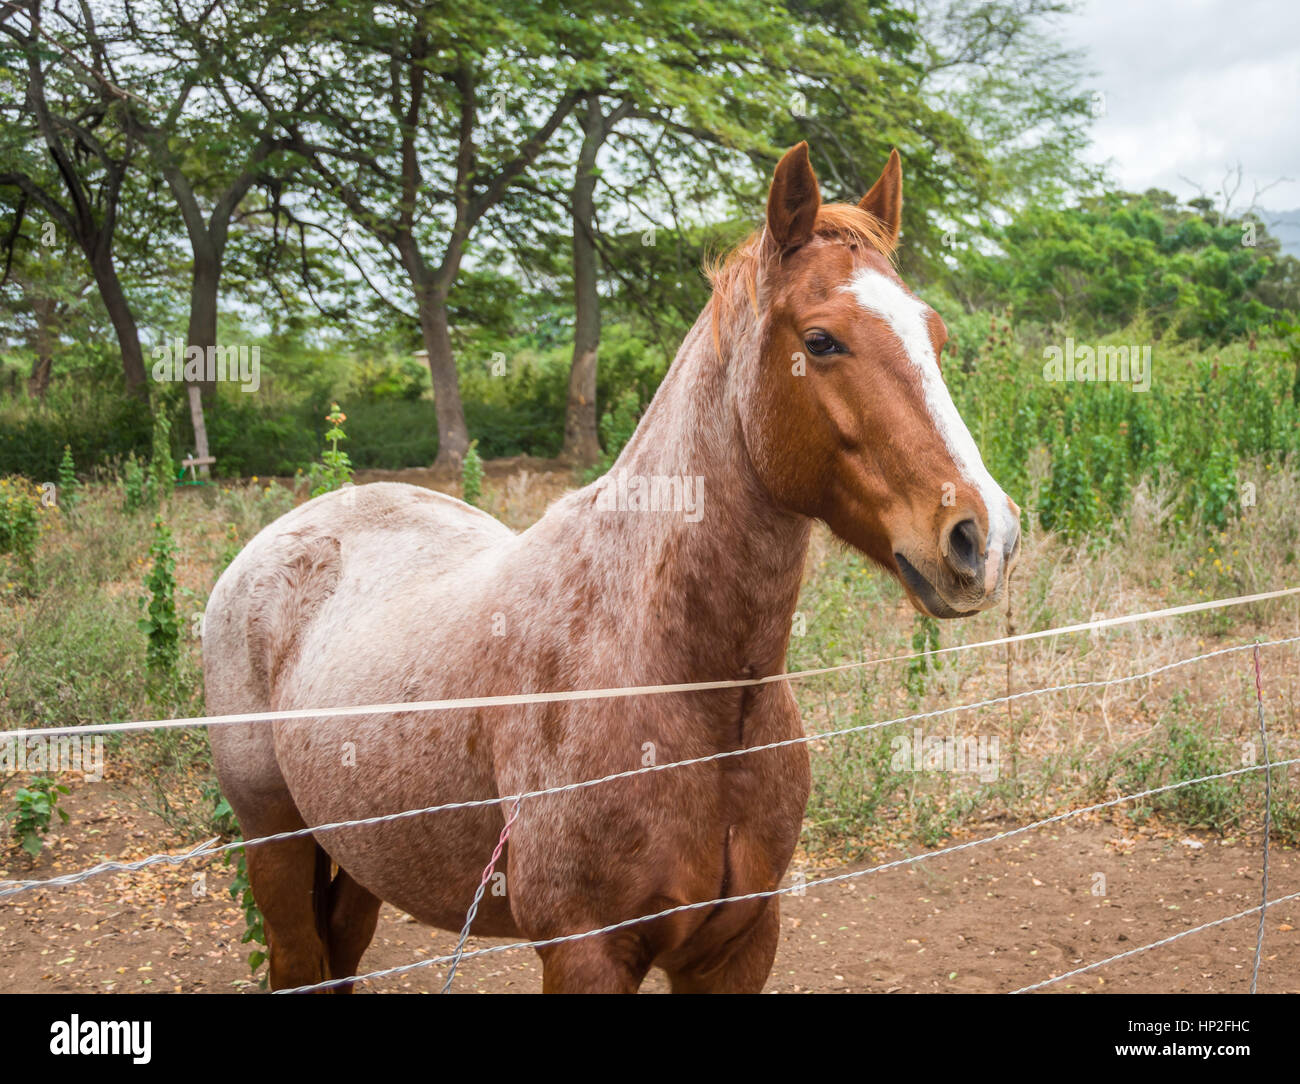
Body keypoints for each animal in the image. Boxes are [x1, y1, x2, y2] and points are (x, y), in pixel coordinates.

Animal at [204, 142, 1021, 993]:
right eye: (823, 339)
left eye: (935, 336)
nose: (982, 535)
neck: (684, 685)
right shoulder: (585, 951)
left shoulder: (739, 943)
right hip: (277, 847)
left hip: (362, 854)